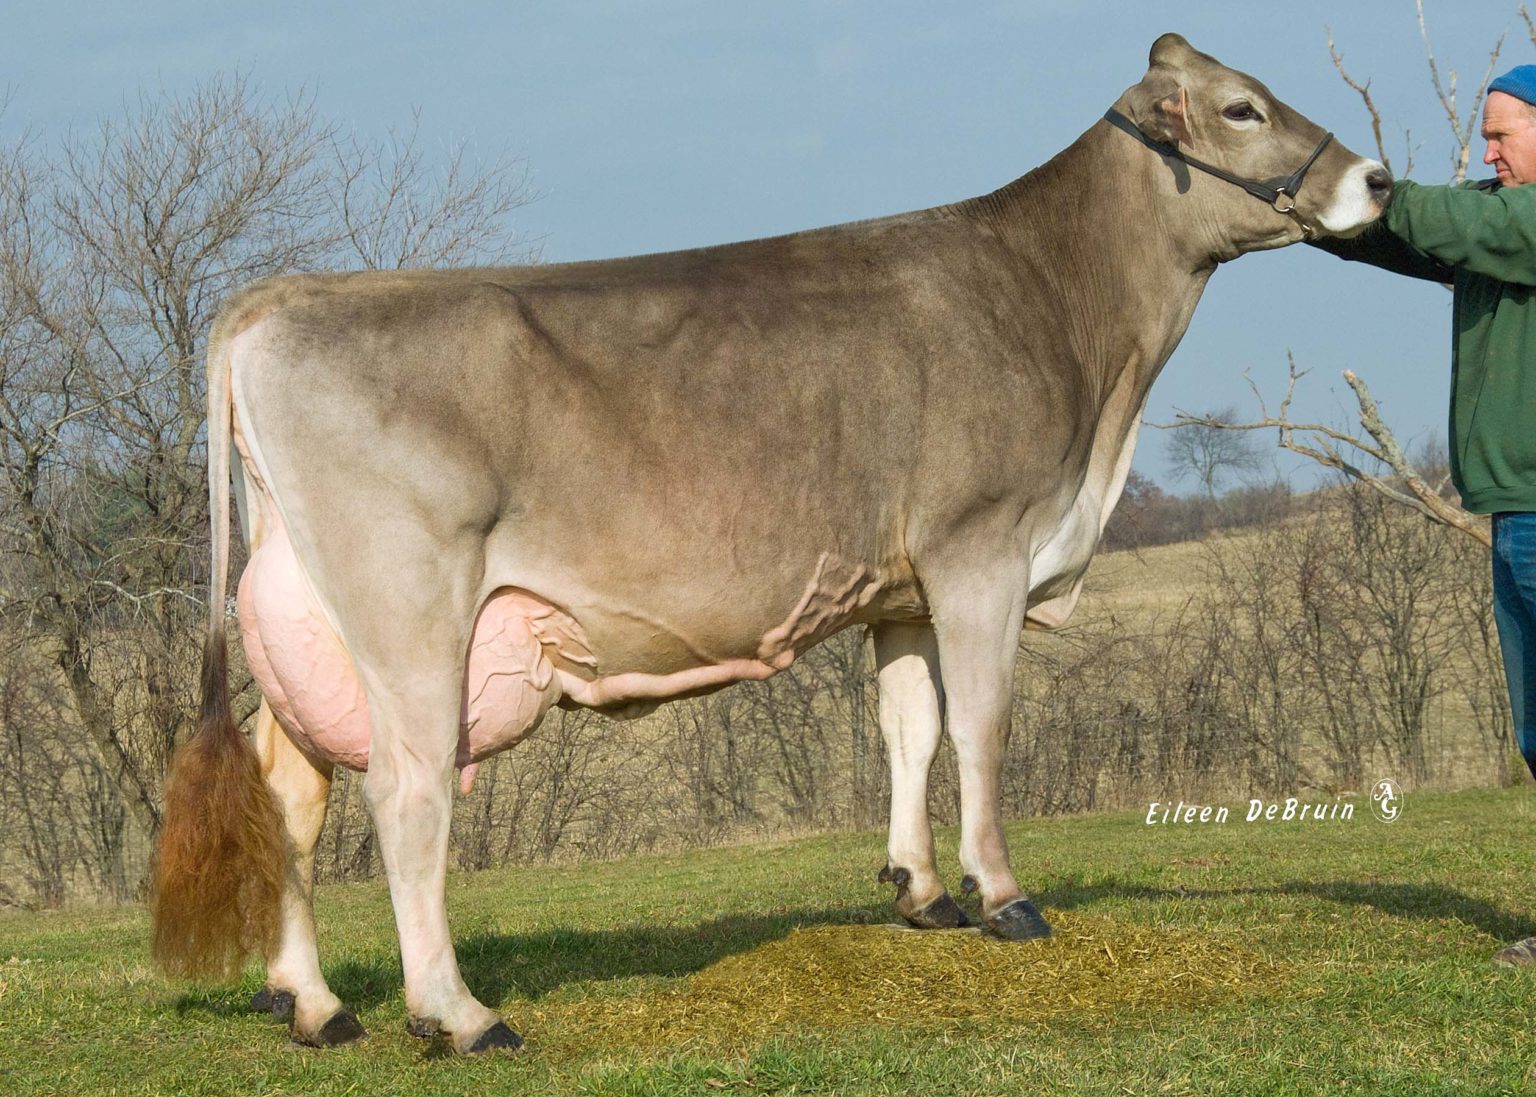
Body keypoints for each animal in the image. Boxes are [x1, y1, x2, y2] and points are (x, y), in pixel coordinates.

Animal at [151, 33, 1390, 1054]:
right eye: (1241, 107)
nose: (1376, 178)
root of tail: (278, 295)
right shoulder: (981, 547)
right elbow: (983, 727)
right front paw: (1004, 895)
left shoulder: (900, 586)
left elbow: (910, 726)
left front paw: (920, 890)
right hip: (410, 608)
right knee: (408, 795)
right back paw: (459, 1014)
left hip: (309, 618)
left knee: (291, 793)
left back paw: (313, 1002)